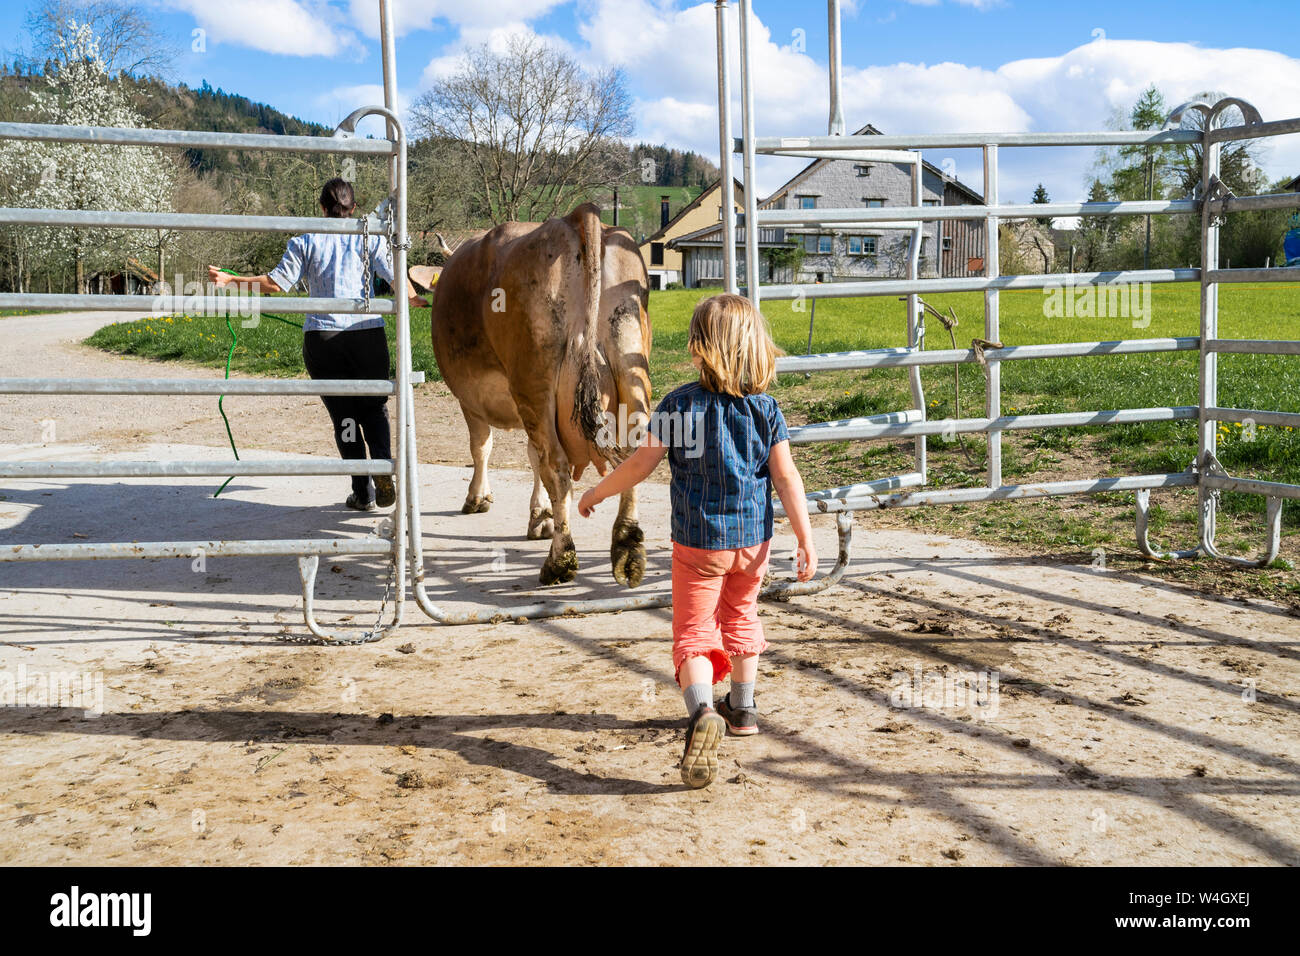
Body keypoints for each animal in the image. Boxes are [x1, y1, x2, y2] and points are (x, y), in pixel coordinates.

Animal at [410, 203, 651, 588]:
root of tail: (573, 217)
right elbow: (529, 456)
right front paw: (541, 516)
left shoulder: (470, 398)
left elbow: (482, 447)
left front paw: (478, 498)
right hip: (629, 359)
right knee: (634, 450)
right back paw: (628, 548)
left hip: (534, 382)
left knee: (556, 465)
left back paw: (560, 561)